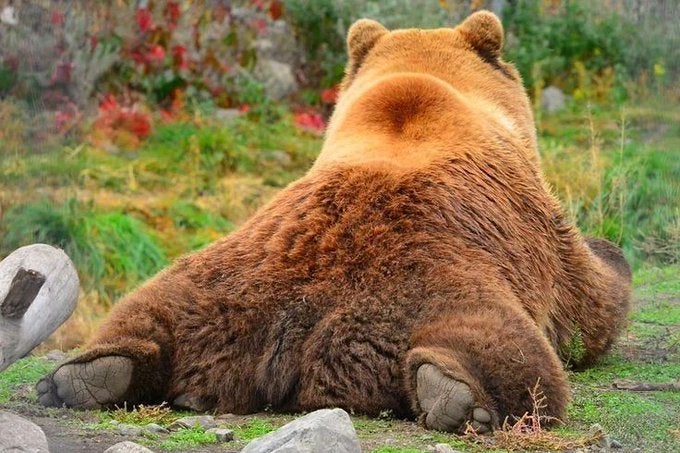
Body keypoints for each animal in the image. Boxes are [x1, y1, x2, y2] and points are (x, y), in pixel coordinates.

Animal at [36, 11, 631, 434]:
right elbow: (592, 303)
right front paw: (611, 251)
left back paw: (87, 376)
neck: (421, 91)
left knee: (145, 312)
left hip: (212, 283)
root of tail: (296, 330)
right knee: (514, 353)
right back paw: (460, 396)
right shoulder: (536, 225)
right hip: (445, 285)